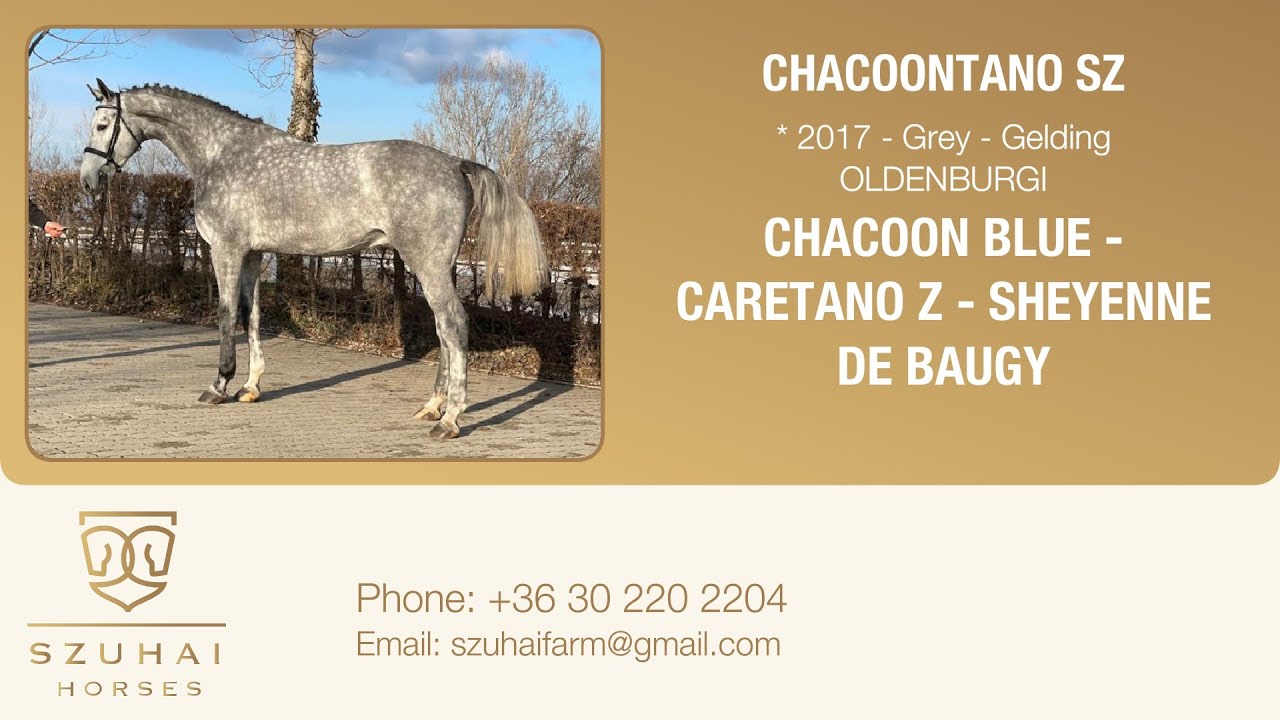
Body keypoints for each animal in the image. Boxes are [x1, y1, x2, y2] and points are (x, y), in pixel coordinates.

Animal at [79, 79, 547, 439]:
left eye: (102, 124)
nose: (87, 180)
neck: (221, 154)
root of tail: (455, 163)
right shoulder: (252, 254)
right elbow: (251, 315)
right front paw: (250, 387)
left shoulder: (226, 250)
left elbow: (226, 313)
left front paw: (219, 384)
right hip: (437, 266)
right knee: (442, 329)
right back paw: (433, 405)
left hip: (428, 265)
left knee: (454, 324)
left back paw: (450, 419)